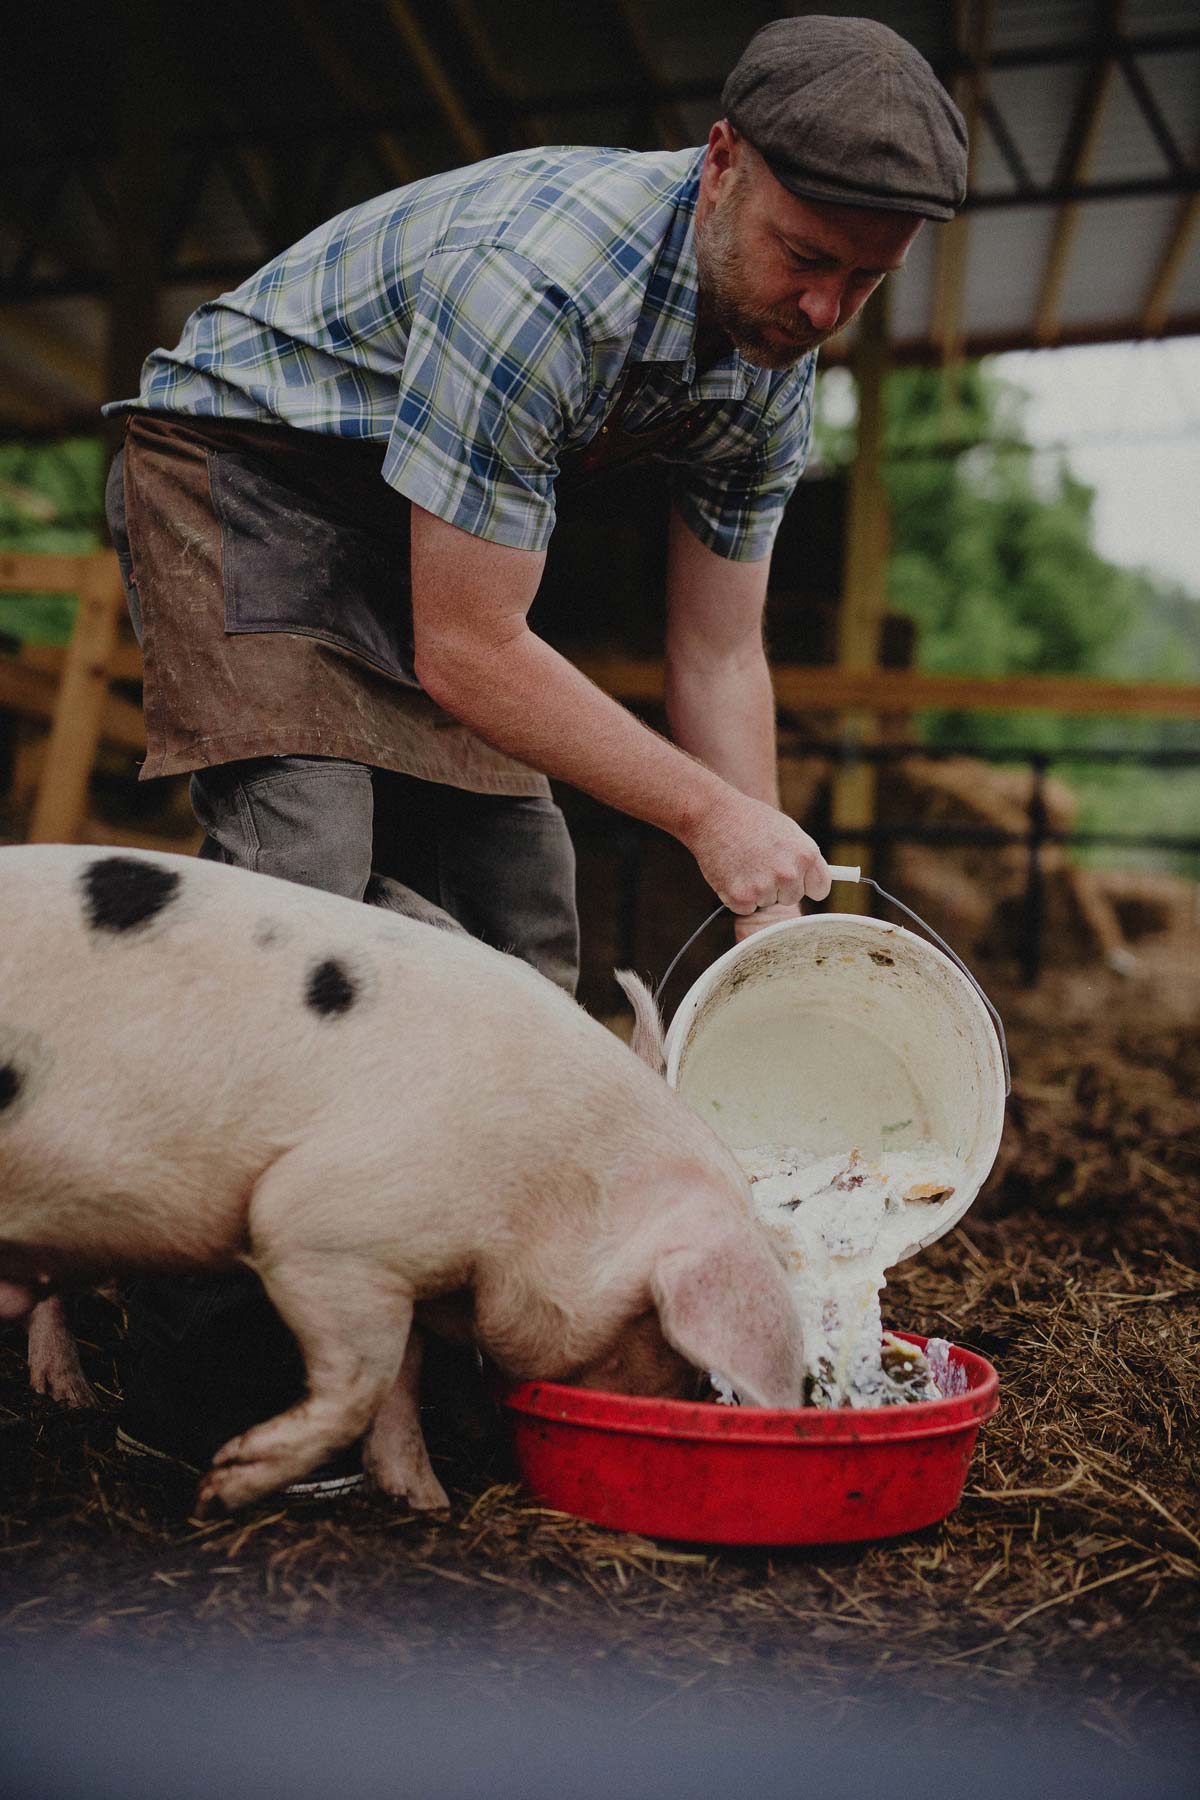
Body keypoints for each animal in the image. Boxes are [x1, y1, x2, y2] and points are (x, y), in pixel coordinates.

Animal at [0, 844, 803, 1514]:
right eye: (660, 1328)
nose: (688, 1395)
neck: (544, 1181)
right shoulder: (320, 1228)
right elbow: (365, 1375)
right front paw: (225, 1486)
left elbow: (402, 1376)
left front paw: (424, 1502)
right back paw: (71, 1397)